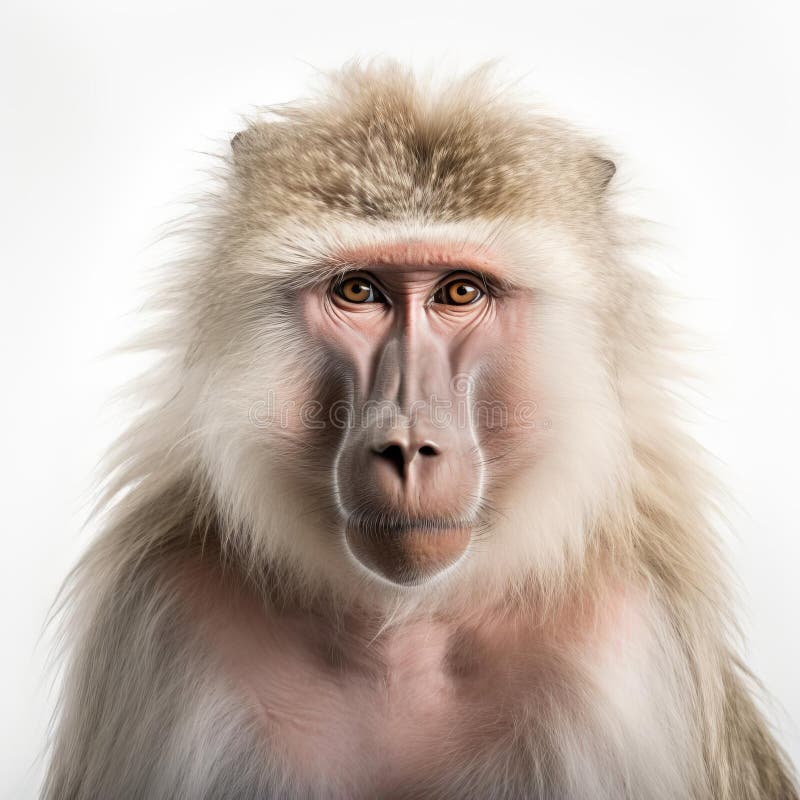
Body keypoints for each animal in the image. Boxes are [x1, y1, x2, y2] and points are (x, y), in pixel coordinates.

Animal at [43, 62, 797, 800]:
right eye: (358, 291)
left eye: (460, 291)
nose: (407, 447)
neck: (402, 629)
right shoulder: (161, 607)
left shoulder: (628, 648)